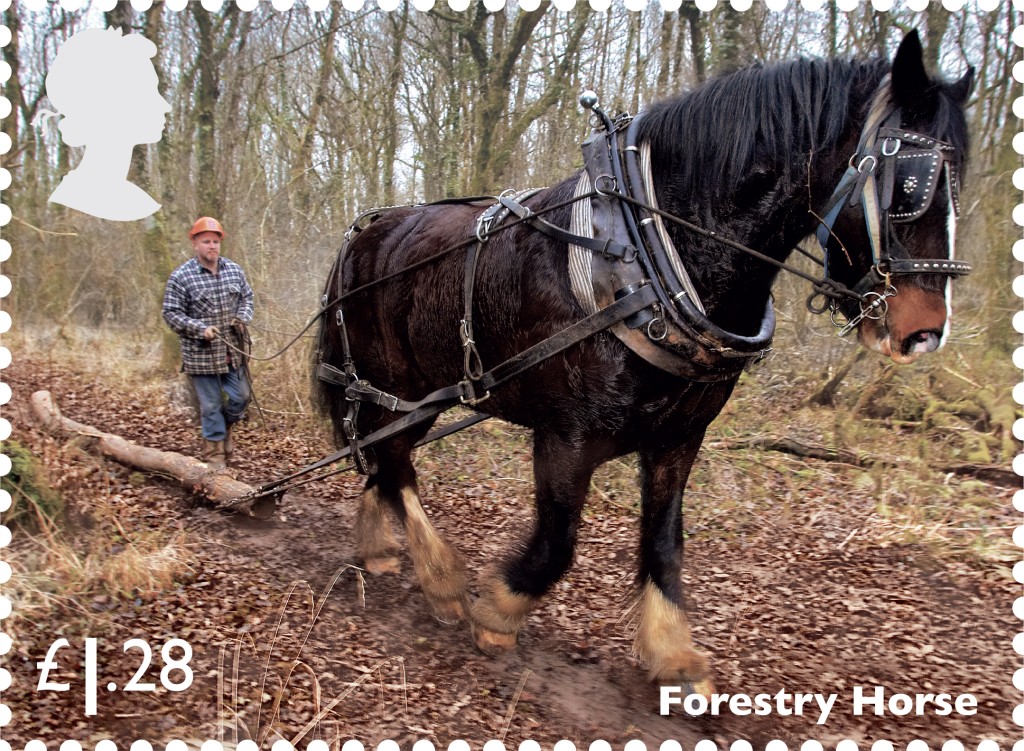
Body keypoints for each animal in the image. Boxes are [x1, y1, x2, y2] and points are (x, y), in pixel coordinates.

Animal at [312, 31, 973, 689]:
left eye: (959, 183)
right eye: (910, 185)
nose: (924, 332)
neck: (649, 254)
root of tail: (363, 233)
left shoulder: (678, 438)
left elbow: (663, 541)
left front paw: (672, 652)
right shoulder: (566, 437)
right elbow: (556, 546)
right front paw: (496, 611)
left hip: (416, 393)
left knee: (385, 458)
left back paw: (379, 547)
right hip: (394, 382)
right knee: (396, 462)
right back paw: (442, 580)